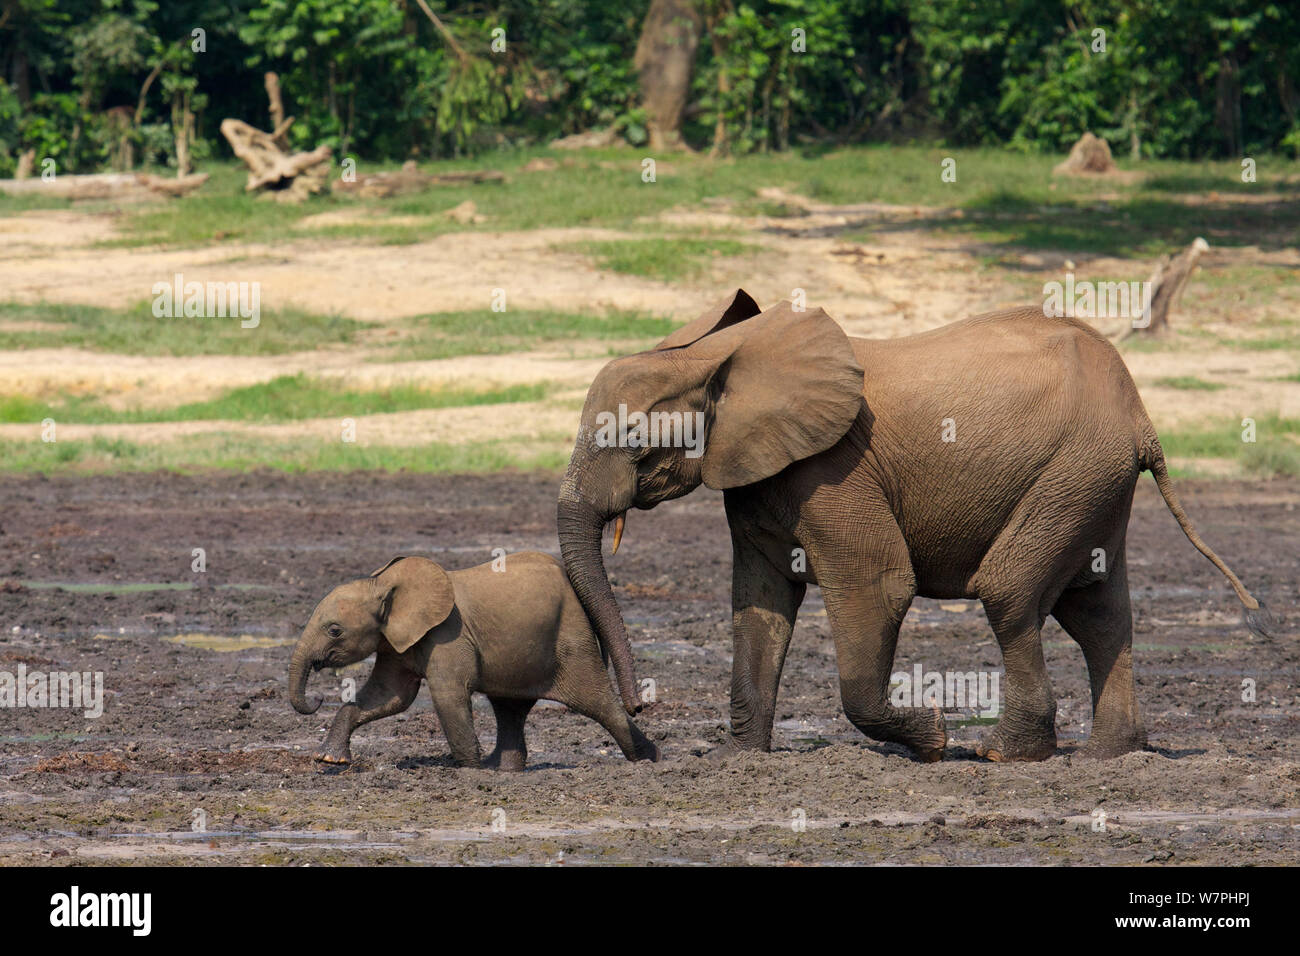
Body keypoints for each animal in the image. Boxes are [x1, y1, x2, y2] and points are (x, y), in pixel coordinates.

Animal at [289, 552, 659, 769]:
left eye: (334, 630)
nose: (316, 698)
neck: (382, 583)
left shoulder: (447, 635)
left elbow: (446, 694)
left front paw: (468, 768)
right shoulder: (396, 641)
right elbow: (389, 696)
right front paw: (330, 759)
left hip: (572, 638)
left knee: (597, 701)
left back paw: (648, 760)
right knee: (510, 708)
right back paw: (503, 768)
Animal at [557, 289, 1272, 762]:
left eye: (632, 437)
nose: (642, 710)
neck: (717, 355)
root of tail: (1141, 414)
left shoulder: (831, 469)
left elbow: (879, 586)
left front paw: (931, 737)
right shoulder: (760, 474)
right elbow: (760, 602)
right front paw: (740, 762)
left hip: (1076, 470)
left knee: (1011, 591)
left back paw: (1001, 755)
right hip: (1094, 482)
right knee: (1098, 612)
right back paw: (1108, 756)